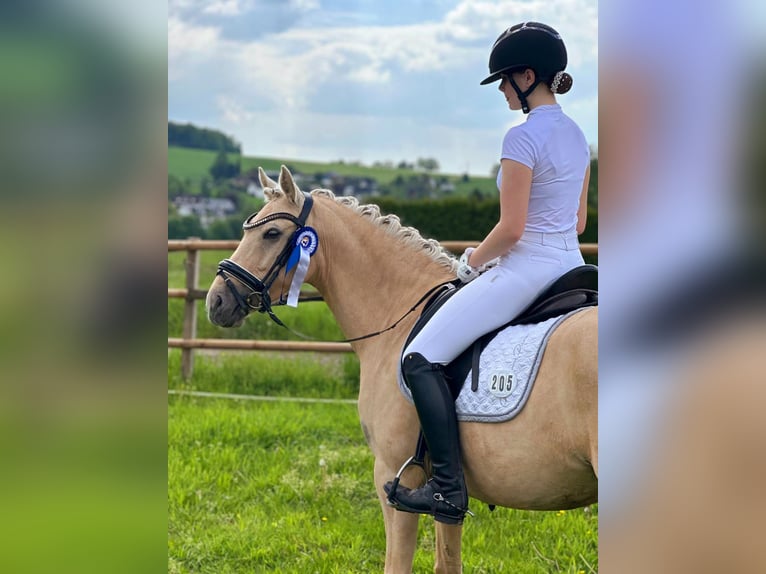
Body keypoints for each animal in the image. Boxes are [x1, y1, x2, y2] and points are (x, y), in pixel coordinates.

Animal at [206, 166, 598, 573]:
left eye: (271, 234)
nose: (216, 301)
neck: (399, 313)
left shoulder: (394, 476)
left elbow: (397, 564)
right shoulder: (447, 496)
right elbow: (447, 561)